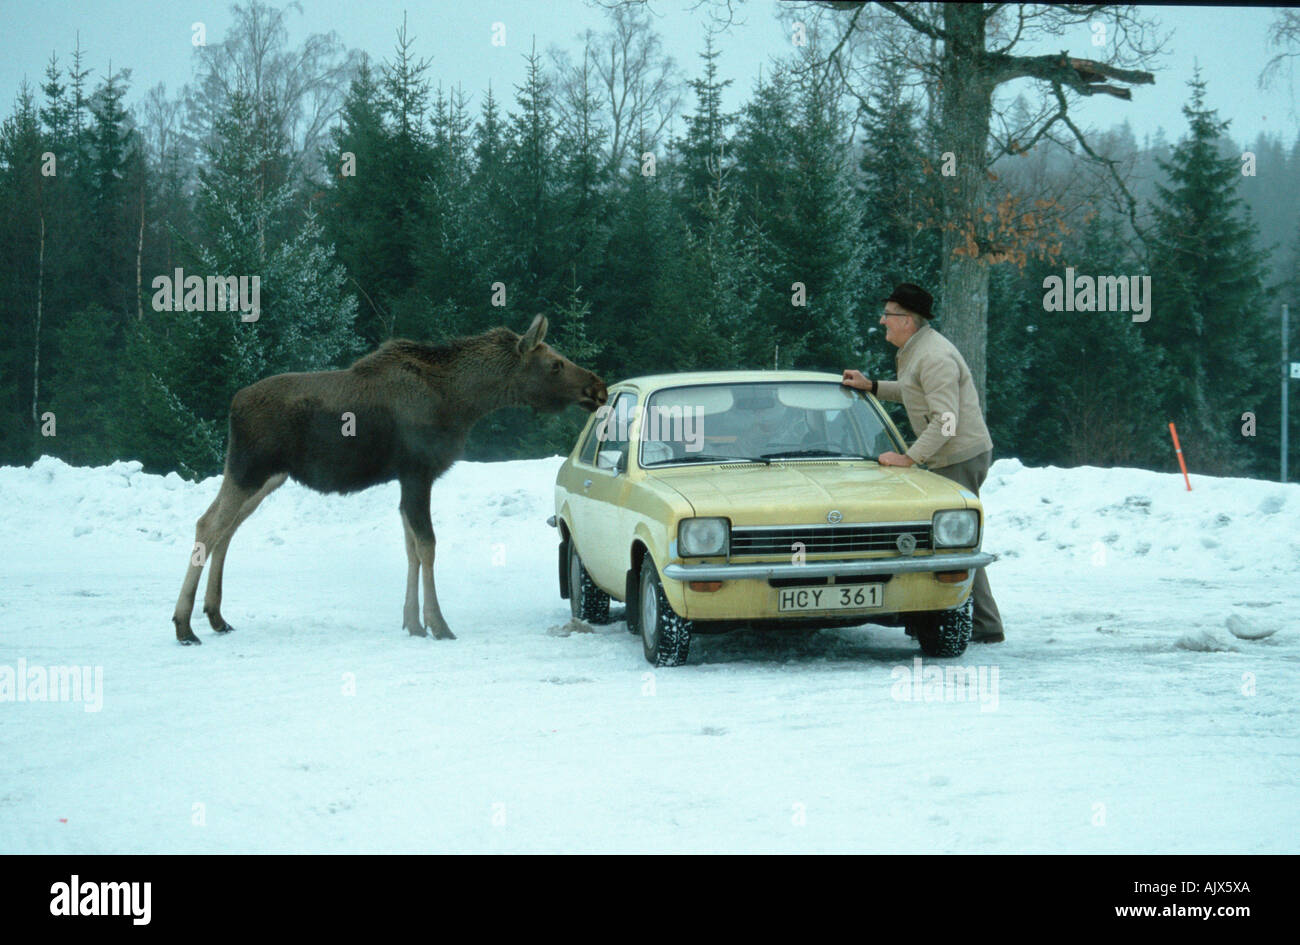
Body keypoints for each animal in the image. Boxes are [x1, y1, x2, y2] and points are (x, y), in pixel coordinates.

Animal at [170, 315, 606, 645]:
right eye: (555, 364)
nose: (597, 387)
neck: (463, 403)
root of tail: (233, 405)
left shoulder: (405, 479)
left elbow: (410, 548)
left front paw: (412, 622)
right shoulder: (418, 471)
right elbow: (427, 546)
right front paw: (439, 624)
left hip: (266, 477)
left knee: (227, 529)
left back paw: (216, 617)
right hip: (249, 469)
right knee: (208, 525)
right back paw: (184, 625)